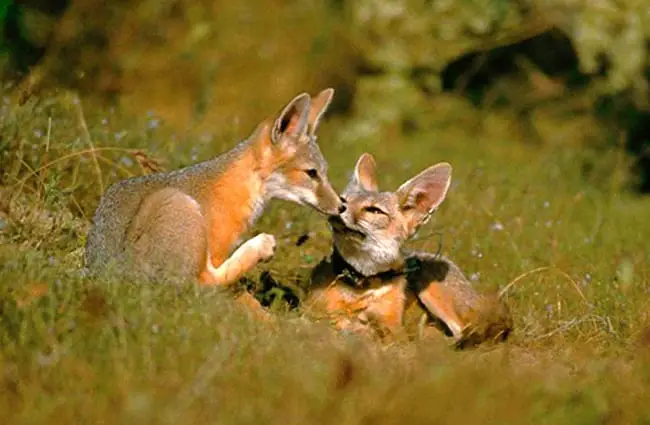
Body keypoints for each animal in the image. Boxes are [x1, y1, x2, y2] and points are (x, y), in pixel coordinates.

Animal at [85, 89, 344, 299]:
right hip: (178, 205)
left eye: (324, 172)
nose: (341, 206)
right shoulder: (217, 251)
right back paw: (259, 246)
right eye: (312, 173)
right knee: (206, 286)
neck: (237, 186)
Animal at [305, 153, 512, 348]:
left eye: (374, 210)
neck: (360, 286)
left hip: (431, 288)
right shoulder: (312, 315)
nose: (338, 209)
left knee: (460, 333)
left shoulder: (395, 330)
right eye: (344, 200)